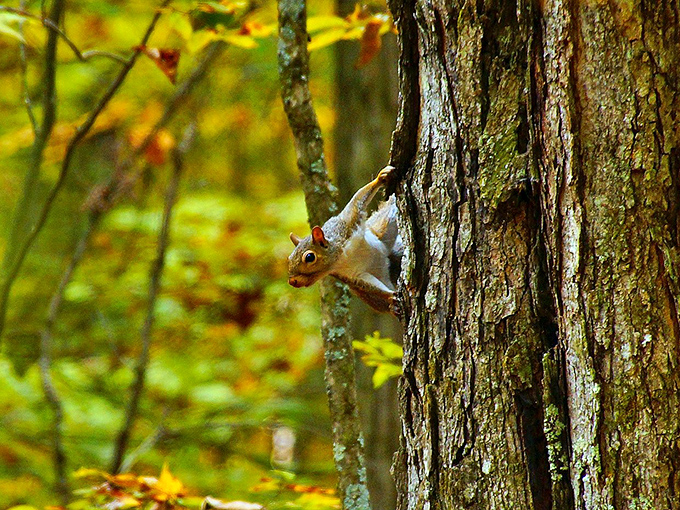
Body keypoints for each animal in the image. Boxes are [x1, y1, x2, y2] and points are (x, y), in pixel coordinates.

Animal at [287, 165, 402, 314]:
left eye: (309, 257)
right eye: (289, 258)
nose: (292, 281)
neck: (340, 258)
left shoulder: (346, 224)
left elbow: (356, 201)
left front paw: (380, 178)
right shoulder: (352, 275)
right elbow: (369, 286)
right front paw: (391, 296)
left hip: (385, 226)